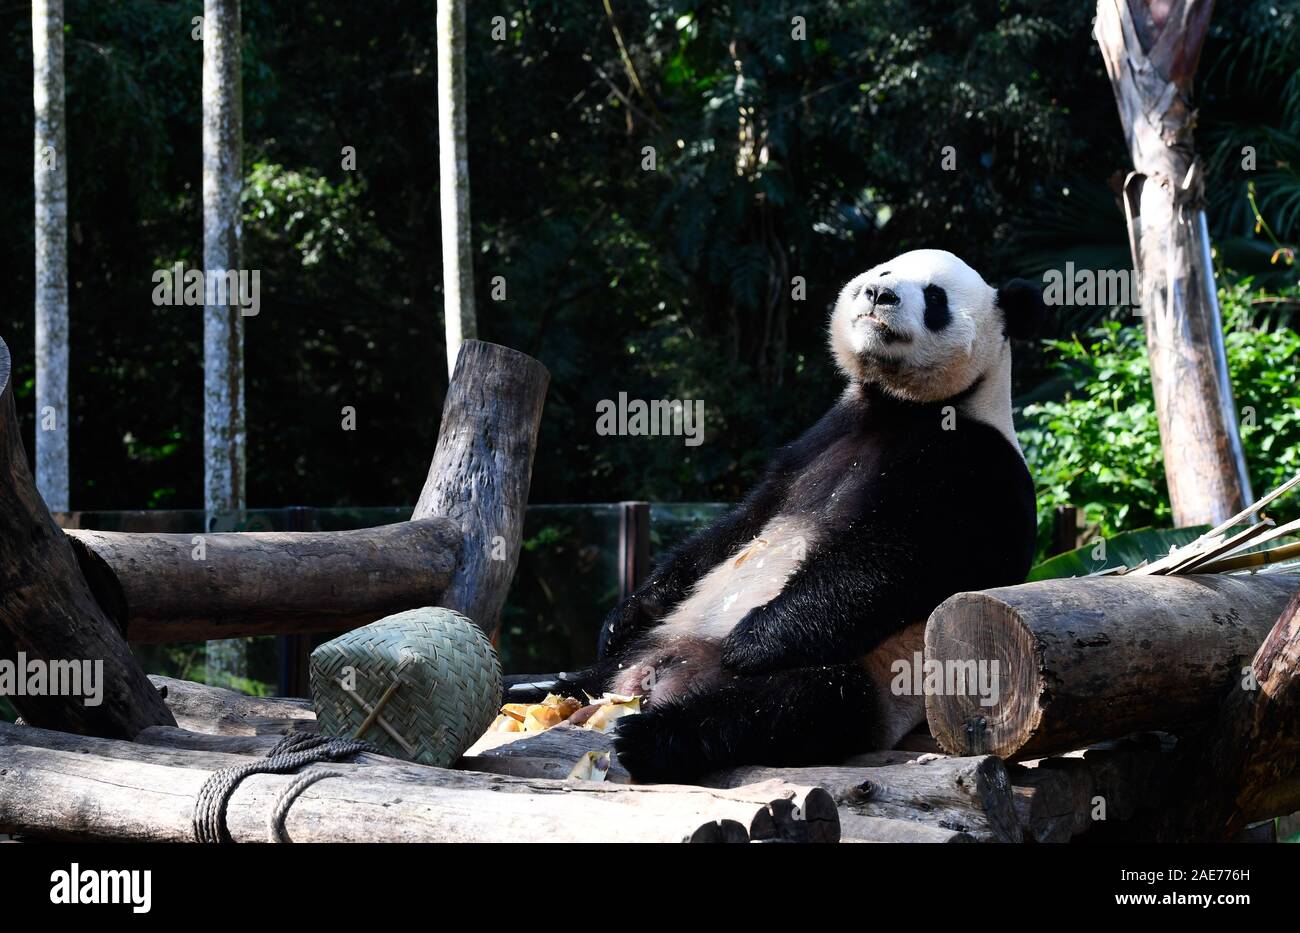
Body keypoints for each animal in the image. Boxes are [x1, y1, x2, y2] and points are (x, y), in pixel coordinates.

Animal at [518, 250, 1043, 783]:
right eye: (884, 274)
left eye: (935, 297)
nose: (880, 295)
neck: (899, 406)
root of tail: (654, 680)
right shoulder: (817, 442)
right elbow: (734, 528)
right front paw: (621, 617)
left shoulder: (977, 467)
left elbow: (898, 558)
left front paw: (752, 639)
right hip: (656, 640)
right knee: (589, 675)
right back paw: (544, 693)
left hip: (875, 672)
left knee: (785, 706)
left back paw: (651, 738)